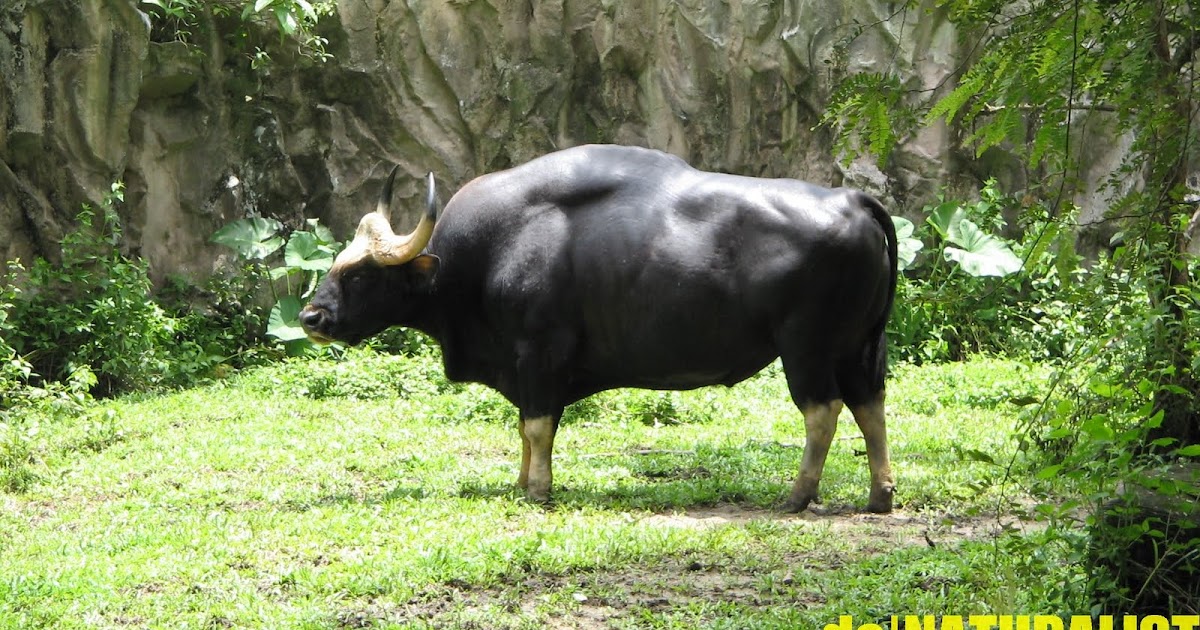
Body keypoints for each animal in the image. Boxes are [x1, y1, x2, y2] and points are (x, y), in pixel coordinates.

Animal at [299, 144, 898, 513]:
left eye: (361, 273)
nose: (312, 318)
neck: (486, 255)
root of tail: (853, 199)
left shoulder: (540, 355)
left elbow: (537, 426)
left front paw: (538, 489)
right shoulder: (525, 366)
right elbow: (524, 427)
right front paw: (522, 481)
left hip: (806, 347)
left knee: (823, 411)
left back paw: (798, 495)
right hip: (860, 346)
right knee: (869, 405)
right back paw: (880, 494)